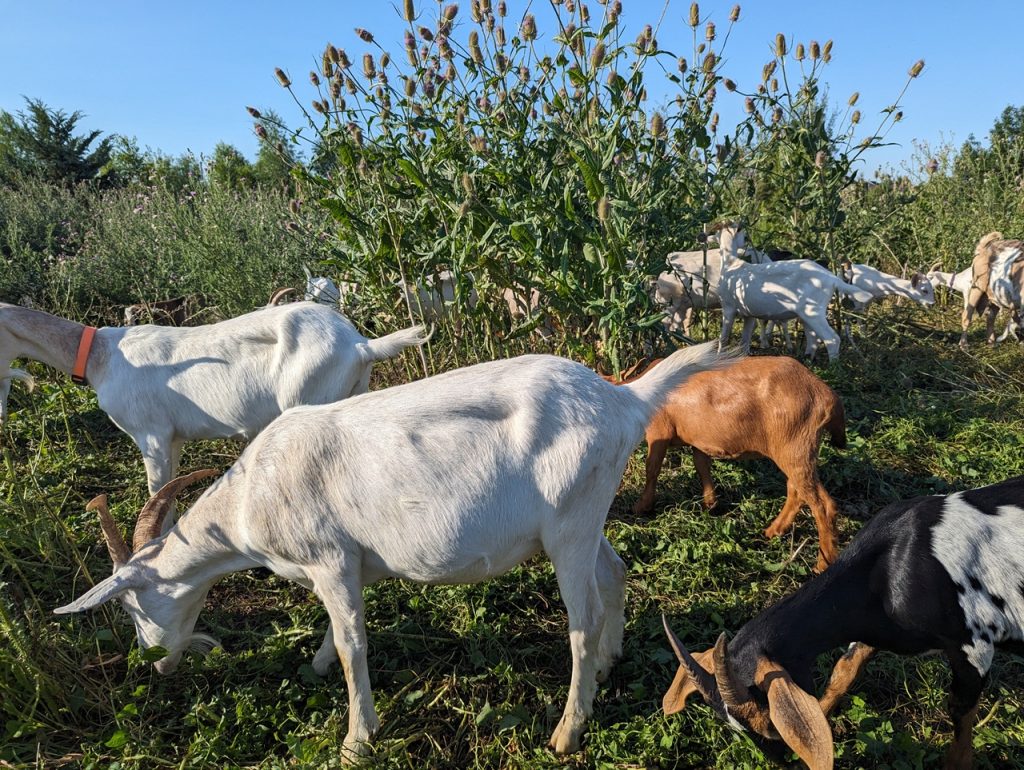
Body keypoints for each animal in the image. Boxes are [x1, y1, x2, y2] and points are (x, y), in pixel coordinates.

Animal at [0, 302, 428, 522]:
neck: (100, 357)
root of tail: (360, 345)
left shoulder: (151, 435)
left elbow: (156, 490)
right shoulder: (172, 439)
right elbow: (167, 493)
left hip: (309, 398)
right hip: (354, 392)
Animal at [54, 342, 736, 762]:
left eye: (133, 604)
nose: (158, 665)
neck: (251, 500)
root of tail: (624, 400)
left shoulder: (329, 557)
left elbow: (354, 643)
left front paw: (357, 739)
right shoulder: (348, 565)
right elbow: (336, 630)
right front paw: (317, 666)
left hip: (571, 517)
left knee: (582, 619)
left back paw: (569, 728)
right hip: (582, 518)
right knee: (614, 573)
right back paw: (608, 666)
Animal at [610, 356, 845, 573]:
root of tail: (827, 396)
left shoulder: (659, 431)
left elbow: (652, 469)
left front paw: (642, 506)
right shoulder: (699, 439)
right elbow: (701, 466)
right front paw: (710, 503)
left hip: (795, 447)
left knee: (823, 504)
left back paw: (823, 562)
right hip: (794, 451)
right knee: (795, 490)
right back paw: (773, 531)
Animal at [662, 475, 1024, 770]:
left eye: (767, 722)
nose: (784, 761)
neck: (892, 565)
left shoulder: (973, 646)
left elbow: (960, 713)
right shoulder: (874, 629)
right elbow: (844, 671)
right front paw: (822, 717)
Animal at [716, 224, 874, 361]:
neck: (731, 264)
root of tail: (832, 278)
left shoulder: (728, 306)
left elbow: (723, 337)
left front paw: (718, 357)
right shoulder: (748, 314)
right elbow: (744, 340)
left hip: (812, 311)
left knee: (831, 339)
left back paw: (833, 367)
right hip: (808, 314)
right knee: (813, 338)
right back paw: (807, 359)